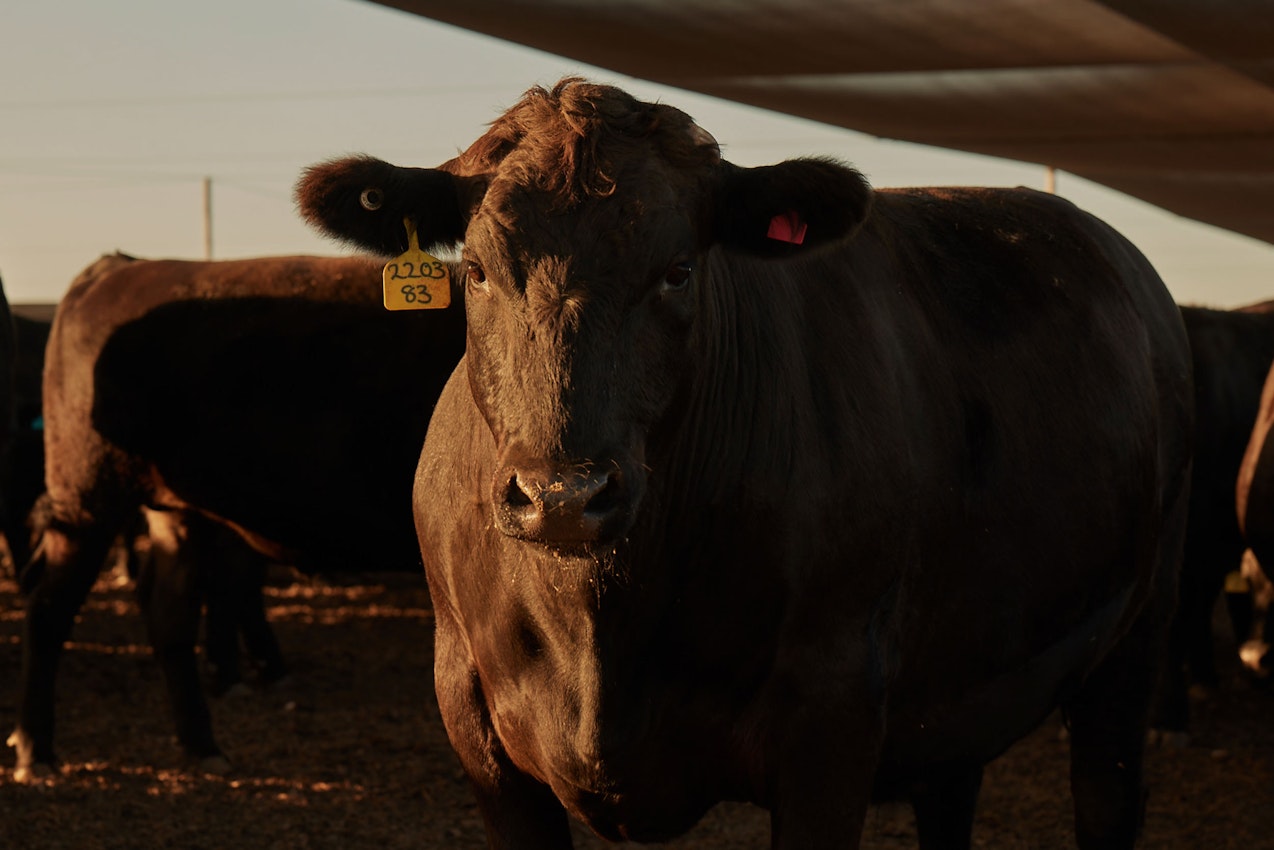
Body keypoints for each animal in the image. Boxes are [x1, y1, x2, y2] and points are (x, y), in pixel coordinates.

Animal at [9, 252, 466, 781]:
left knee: (170, 617)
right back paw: (36, 750)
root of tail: (120, 265)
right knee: (48, 611)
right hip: (88, 500)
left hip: (175, 515)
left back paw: (201, 743)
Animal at [295, 79, 1193, 849]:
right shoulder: (476, 729)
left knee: (1107, 793)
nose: (562, 496)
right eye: (477, 271)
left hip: (1136, 637)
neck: (599, 627)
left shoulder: (833, 721)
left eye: (679, 269)